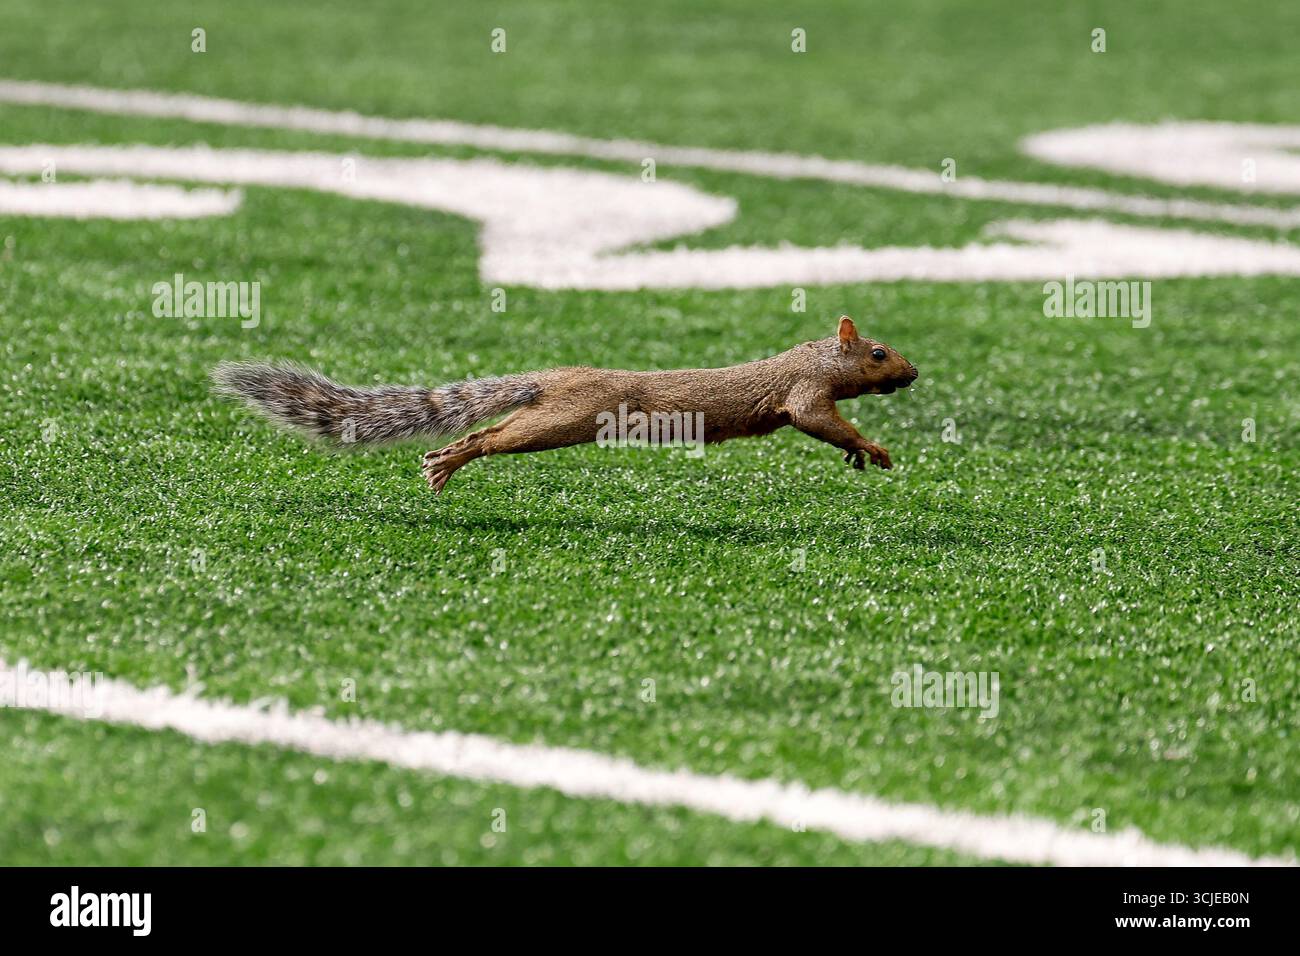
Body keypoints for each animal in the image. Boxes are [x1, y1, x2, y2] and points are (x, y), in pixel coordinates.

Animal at [211, 315, 917, 493]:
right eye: (878, 352)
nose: (913, 373)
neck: (814, 357)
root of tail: (551, 376)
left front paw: (860, 456)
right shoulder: (805, 395)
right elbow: (818, 421)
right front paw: (873, 447)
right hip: (562, 420)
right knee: (492, 436)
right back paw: (447, 461)